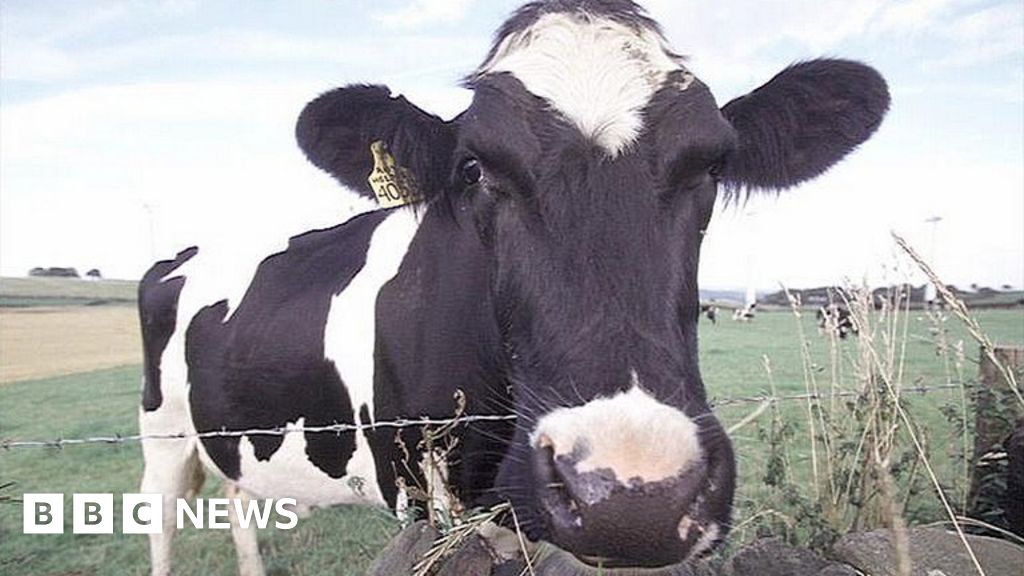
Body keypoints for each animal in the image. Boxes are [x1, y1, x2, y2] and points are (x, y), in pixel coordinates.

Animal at [137, 1, 889, 574]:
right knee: (163, 522)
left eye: (713, 165)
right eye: (474, 168)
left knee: (237, 502)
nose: (634, 494)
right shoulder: (428, 489)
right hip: (163, 434)